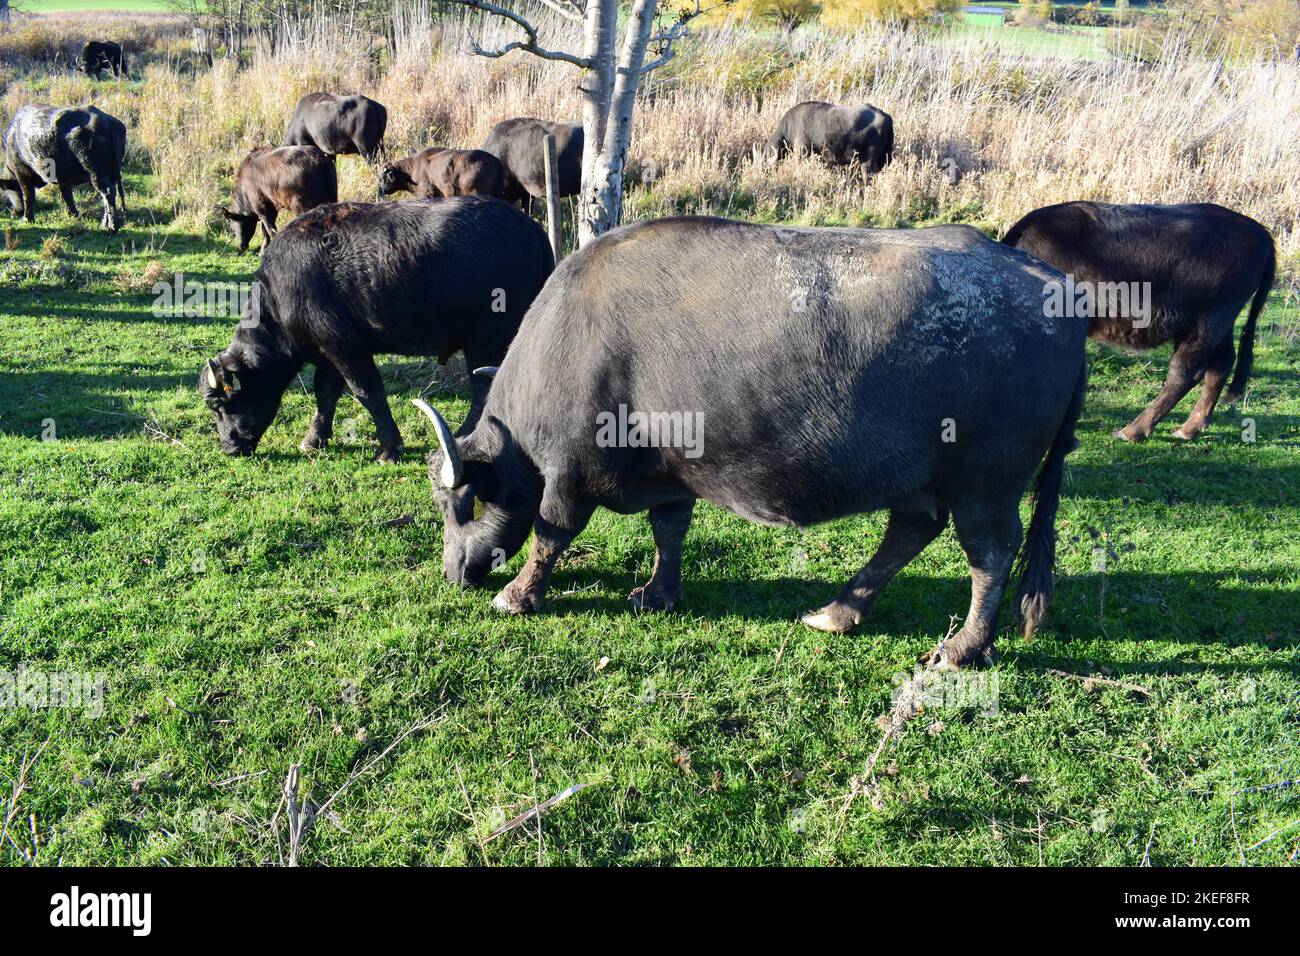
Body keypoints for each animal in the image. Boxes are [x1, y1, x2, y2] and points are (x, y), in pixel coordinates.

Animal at [200, 197, 553, 462]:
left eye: (219, 405)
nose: (229, 447)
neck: (279, 295)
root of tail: (534, 233)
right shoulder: (328, 353)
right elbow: (325, 394)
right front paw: (315, 439)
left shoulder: (345, 347)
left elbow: (368, 394)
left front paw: (389, 448)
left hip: (485, 338)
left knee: (483, 387)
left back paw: (465, 433)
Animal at [413, 217, 1087, 669]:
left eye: (457, 504)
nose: (455, 573)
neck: (564, 344)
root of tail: (1057, 291)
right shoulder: (668, 475)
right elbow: (669, 530)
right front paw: (658, 593)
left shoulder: (570, 477)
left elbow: (551, 533)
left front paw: (517, 595)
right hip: (921, 479)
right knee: (911, 530)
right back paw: (838, 611)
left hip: (987, 484)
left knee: (990, 553)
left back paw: (963, 646)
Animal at [1003, 202, 1275, 441]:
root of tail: (1261, 234)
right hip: (1219, 326)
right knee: (1220, 365)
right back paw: (1190, 428)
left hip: (1206, 323)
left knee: (1185, 373)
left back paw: (1134, 430)